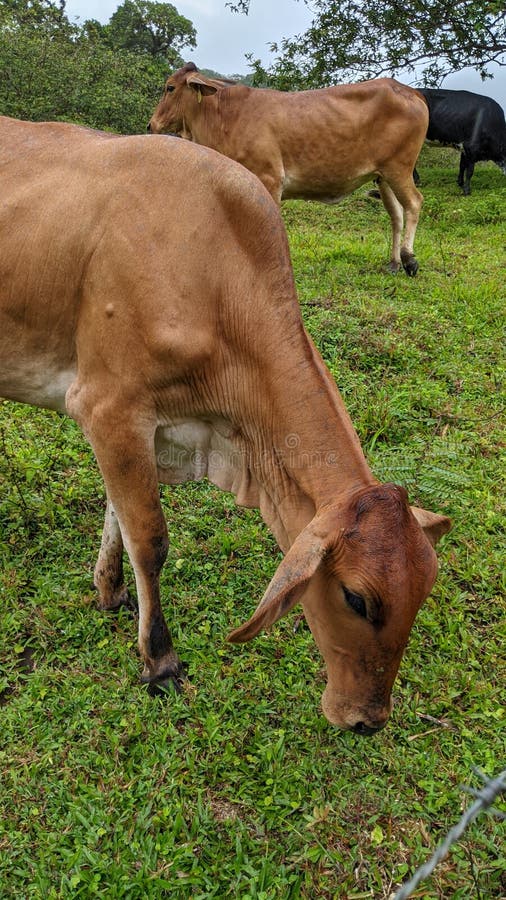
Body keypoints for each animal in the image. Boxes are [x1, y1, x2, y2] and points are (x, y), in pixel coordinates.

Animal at [0, 116, 451, 734]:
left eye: (425, 591)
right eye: (357, 598)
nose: (368, 718)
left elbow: (117, 516)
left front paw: (110, 592)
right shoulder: (108, 406)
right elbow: (149, 540)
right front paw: (159, 659)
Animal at [147, 63, 429, 277]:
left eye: (170, 87)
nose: (151, 125)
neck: (225, 117)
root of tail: (410, 91)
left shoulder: (270, 179)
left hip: (399, 169)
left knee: (414, 203)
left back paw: (409, 259)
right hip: (382, 176)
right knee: (397, 215)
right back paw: (393, 262)